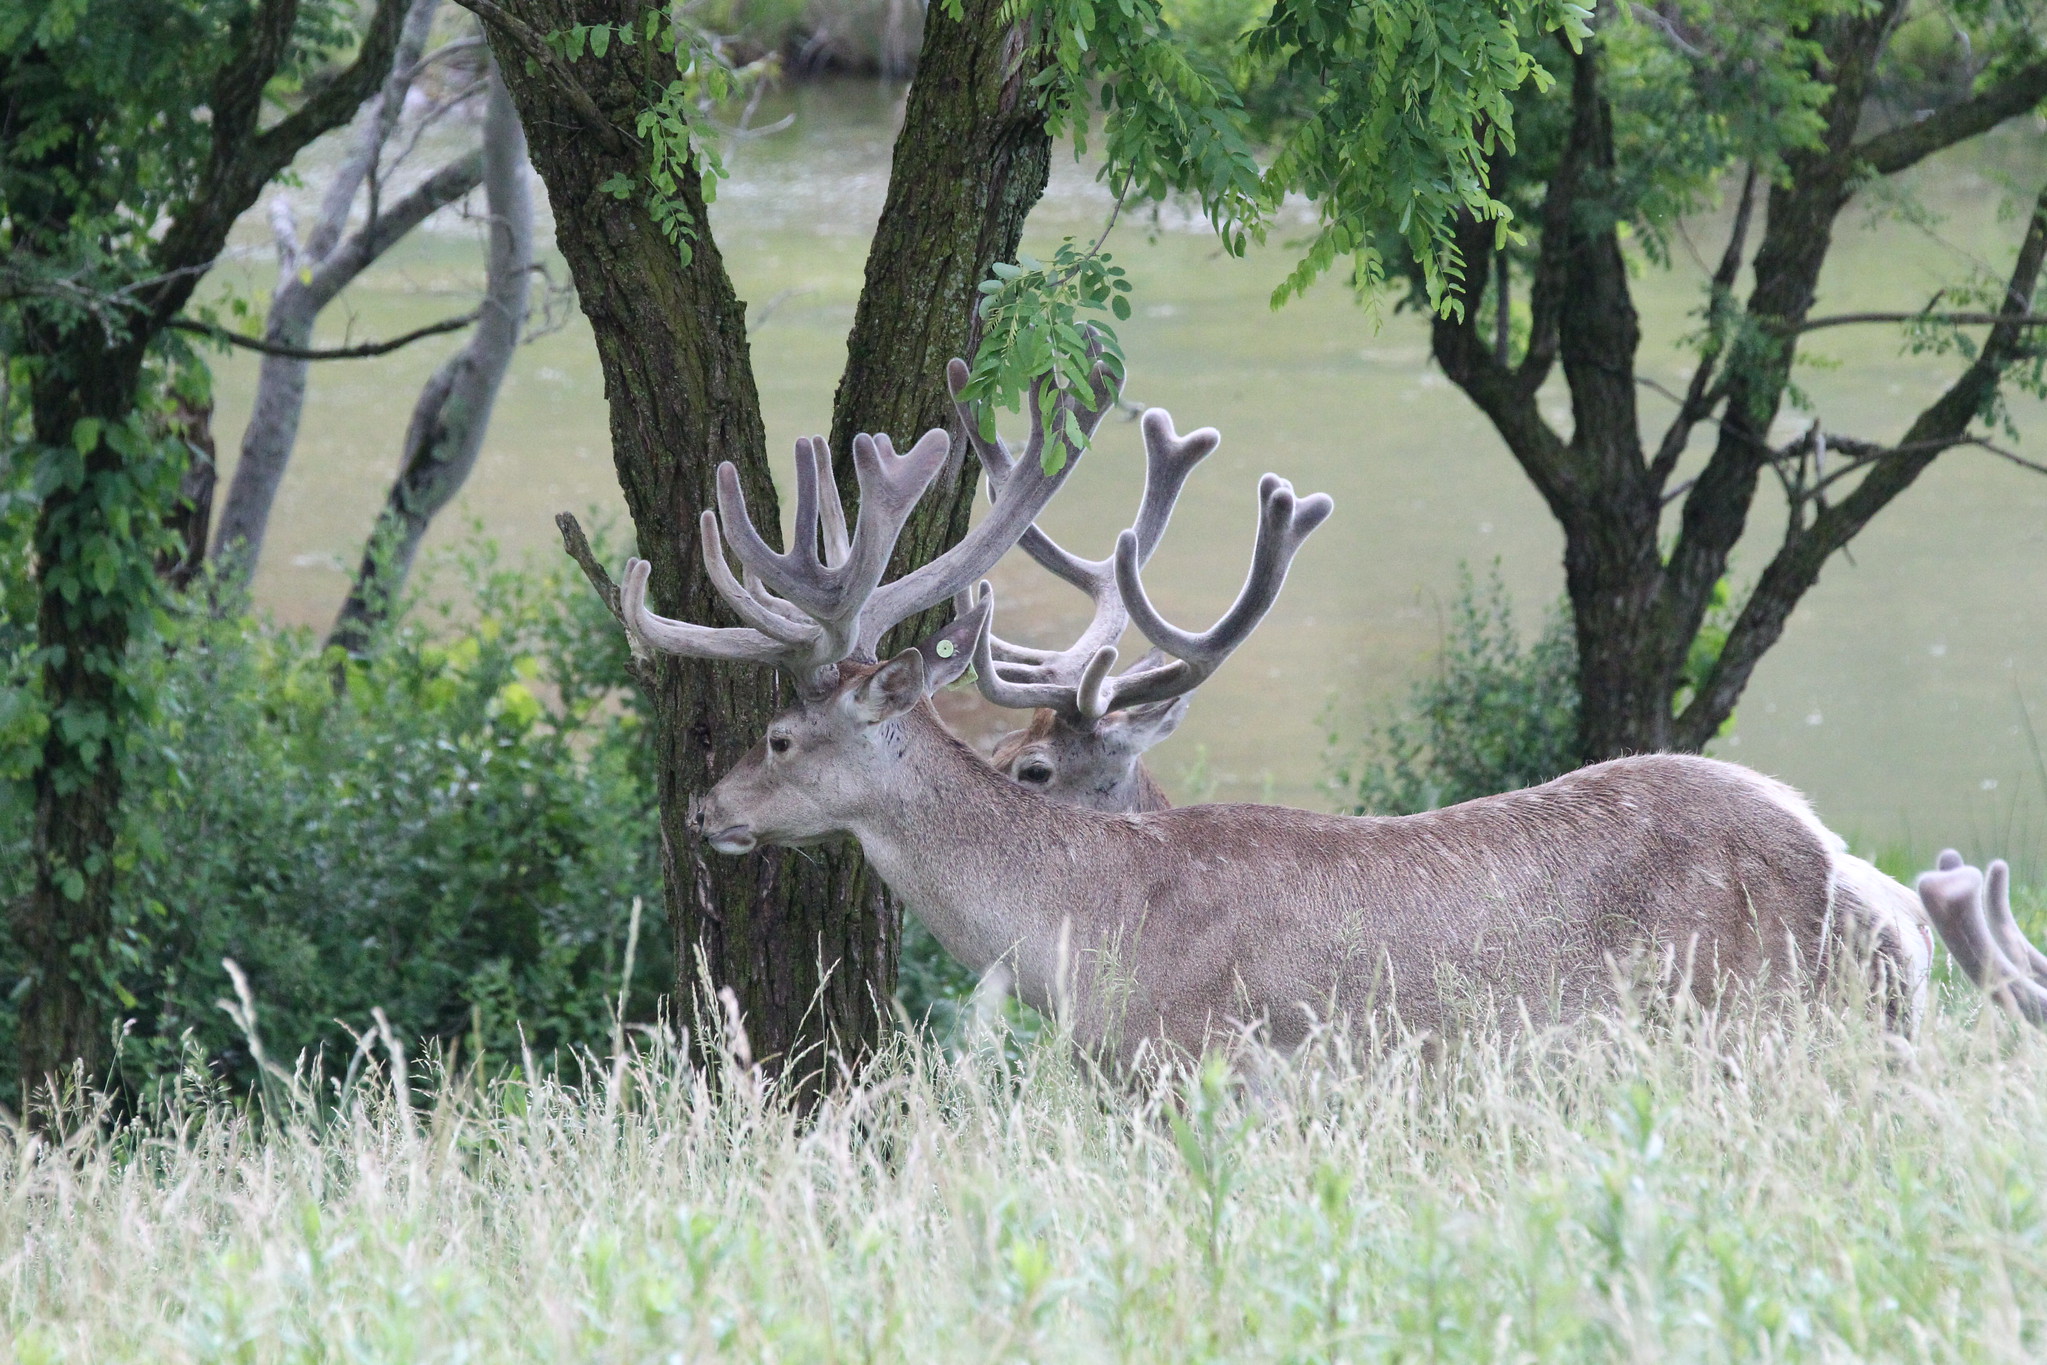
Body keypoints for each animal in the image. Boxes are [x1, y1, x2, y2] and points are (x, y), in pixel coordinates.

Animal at [619, 358, 1934, 1065]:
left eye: (780, 736)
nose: (703, 808)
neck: (1083, 928)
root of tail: (1868, 890)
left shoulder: (1212, 1059)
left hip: (1745, 1020)